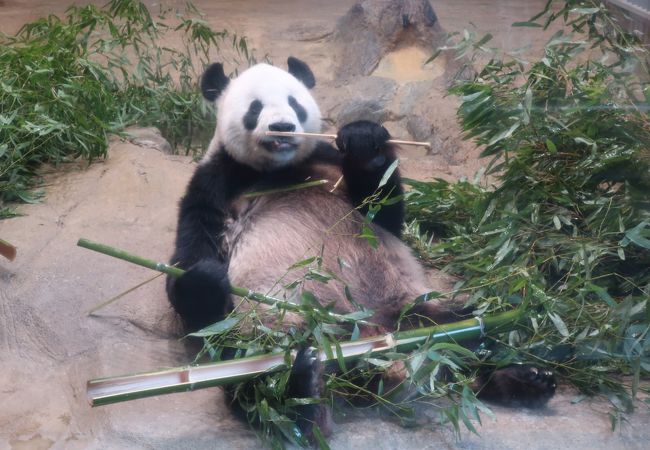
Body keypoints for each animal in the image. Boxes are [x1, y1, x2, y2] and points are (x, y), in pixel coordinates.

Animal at [165, 56, 556, 440]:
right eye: (255, 108)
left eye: (294, 103)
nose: (283, 127)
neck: (280, 170)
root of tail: (366, 353)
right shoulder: (217, 183)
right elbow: (191, 274)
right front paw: (206, 276)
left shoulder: (328, 162)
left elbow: (384, 211)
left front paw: (365, 141)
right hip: (264, 332)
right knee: (251, 376)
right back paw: (300, 393)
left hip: (411, 307)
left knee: (477, 329)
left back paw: (525, 375)